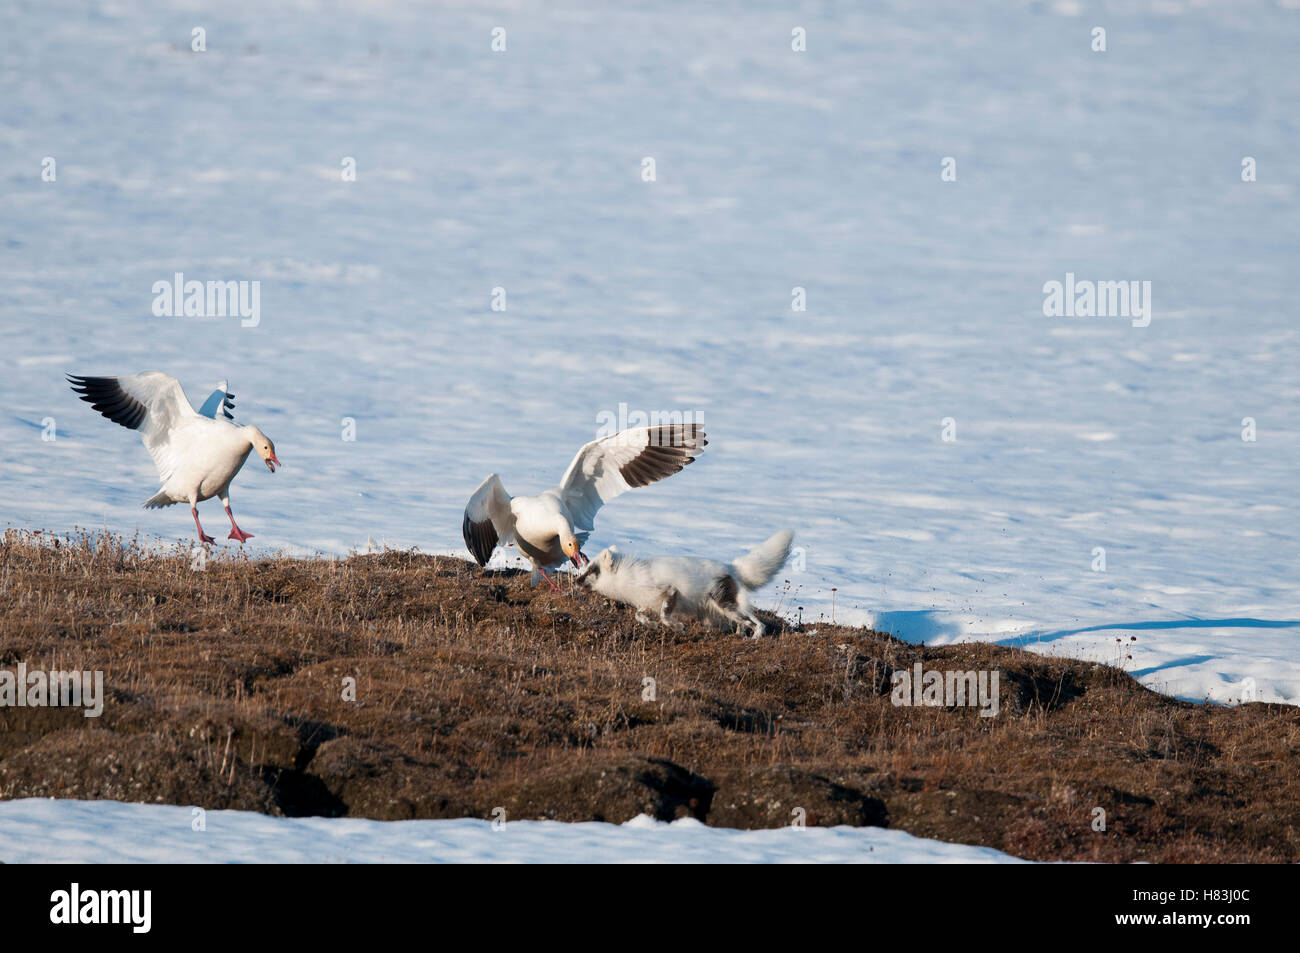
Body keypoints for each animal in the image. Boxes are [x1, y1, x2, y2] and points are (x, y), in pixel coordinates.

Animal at [576, 530, 794, 639]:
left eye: (592, 570)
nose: (576, 580)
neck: (630, 576)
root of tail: (731, 567)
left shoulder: (670, 591)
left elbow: (665, 616)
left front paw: (678, 627)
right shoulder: (646, 603)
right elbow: (640, 616)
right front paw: (651, 624)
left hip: (725, 603)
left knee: (758, 623)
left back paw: (753, 639)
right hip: (720, 611)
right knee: (742, 622)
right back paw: (739, 635)